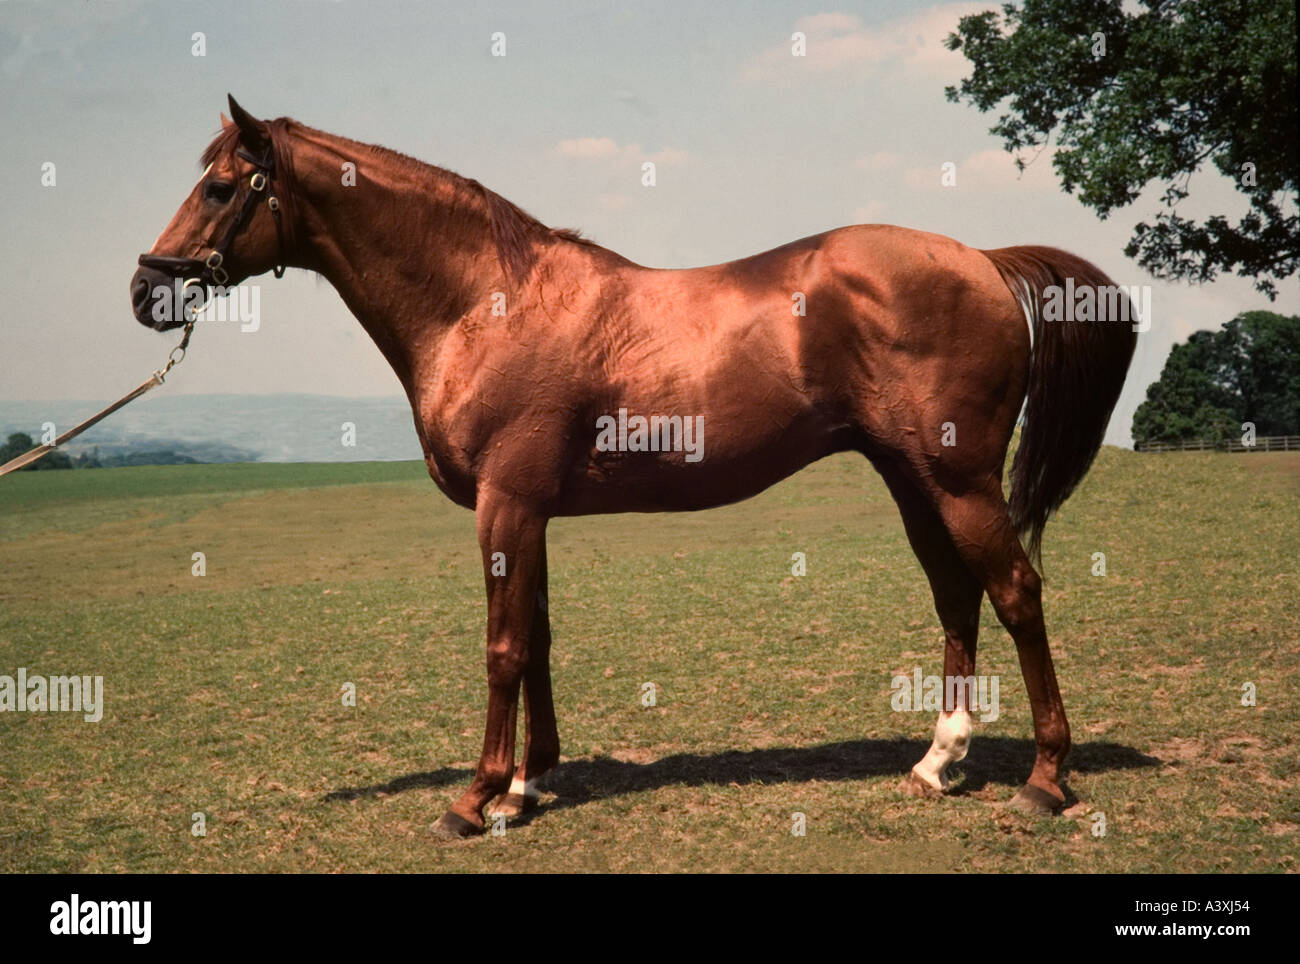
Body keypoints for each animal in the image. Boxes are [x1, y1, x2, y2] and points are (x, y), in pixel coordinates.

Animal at [131, 96, 1136, 838]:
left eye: (221, 187)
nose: (147, 288)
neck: (486, 302)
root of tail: (985, 261)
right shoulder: (527, 511)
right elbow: (535, 639)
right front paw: (530, 784)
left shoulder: (504, 506)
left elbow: (501, 648)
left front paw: (474, 800)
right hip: (911, 477)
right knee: (957, 595)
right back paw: (937, 763)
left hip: (959, 482)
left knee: (1016, 591)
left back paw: (1046, 779)